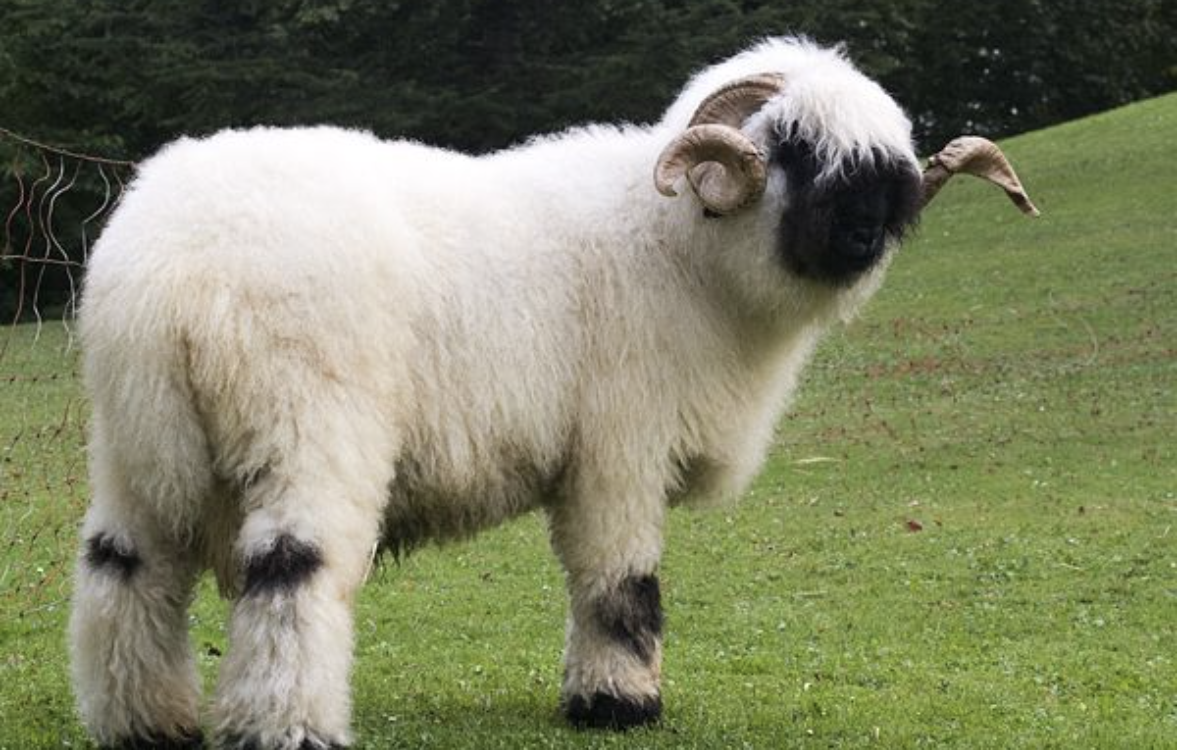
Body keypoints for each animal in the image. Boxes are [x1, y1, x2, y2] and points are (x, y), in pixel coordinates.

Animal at [69, 36, 1036, 750]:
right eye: (794, 147)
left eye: (883, 165)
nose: (868, 232)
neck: (677, 245)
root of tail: (174, 275)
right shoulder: (619, 449)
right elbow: (621, 585)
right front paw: (618, 704)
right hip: (305, 429)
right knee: (290, 577)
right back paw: (290, 728)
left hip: (133, 445)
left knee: (124, 573)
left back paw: (147, 726)